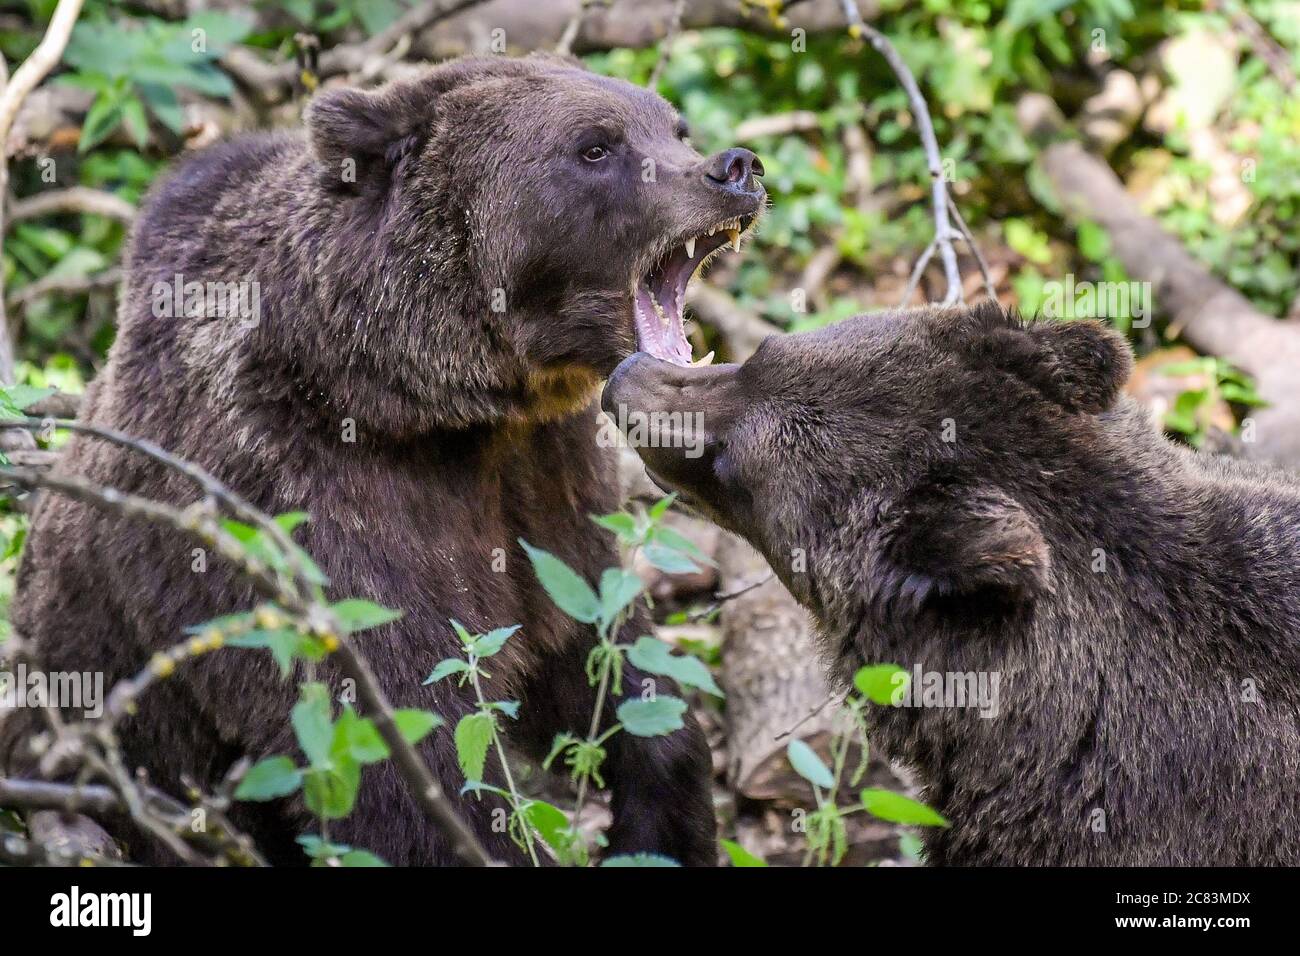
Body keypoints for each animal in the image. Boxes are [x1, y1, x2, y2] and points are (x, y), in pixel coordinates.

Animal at [0, 53, 766, 866]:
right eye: (594, 147)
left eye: (674, 127)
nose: (733, 167)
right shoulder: (296, 500)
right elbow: (401, 749)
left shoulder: (547, 482)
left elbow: (599, 643)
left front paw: (664, 811)